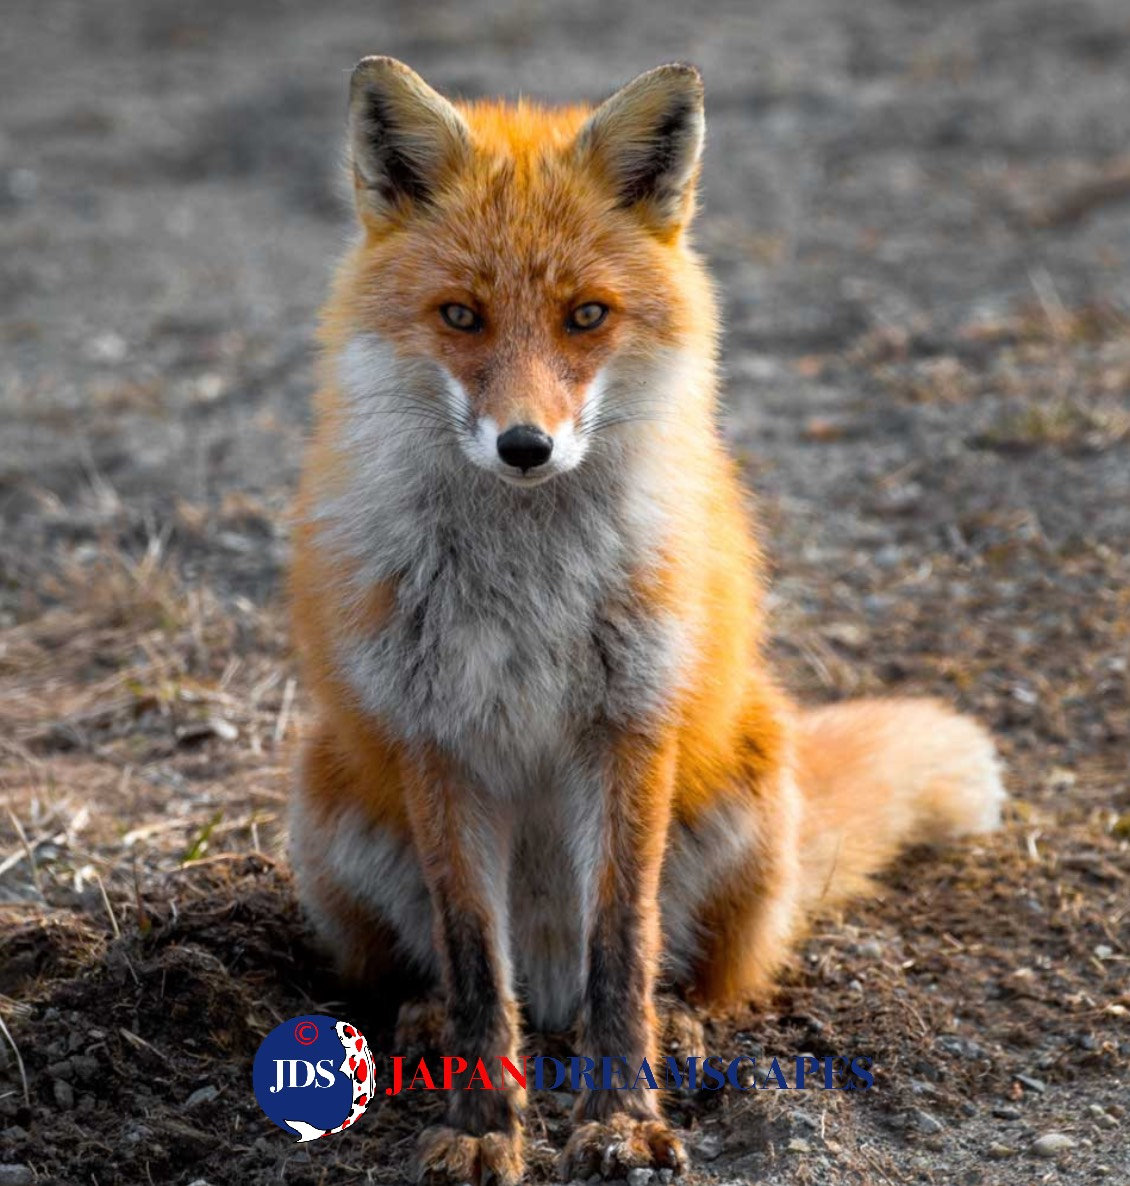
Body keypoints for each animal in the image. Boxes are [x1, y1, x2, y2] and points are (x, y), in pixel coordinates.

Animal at [288, 57, 1004, 1184]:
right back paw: (427, 1022)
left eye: (586, 315)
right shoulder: (438, 737)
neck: (525, 583)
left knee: (684, 976)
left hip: (747, 793)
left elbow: (622, 949)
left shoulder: (628, 724)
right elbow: (471, 961)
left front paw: (621, 1118)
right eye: (460, 315)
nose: (525, 446)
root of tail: (548, 994)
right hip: (326, 809)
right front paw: (483, 1126)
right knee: (454, 978)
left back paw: (683, 1028)